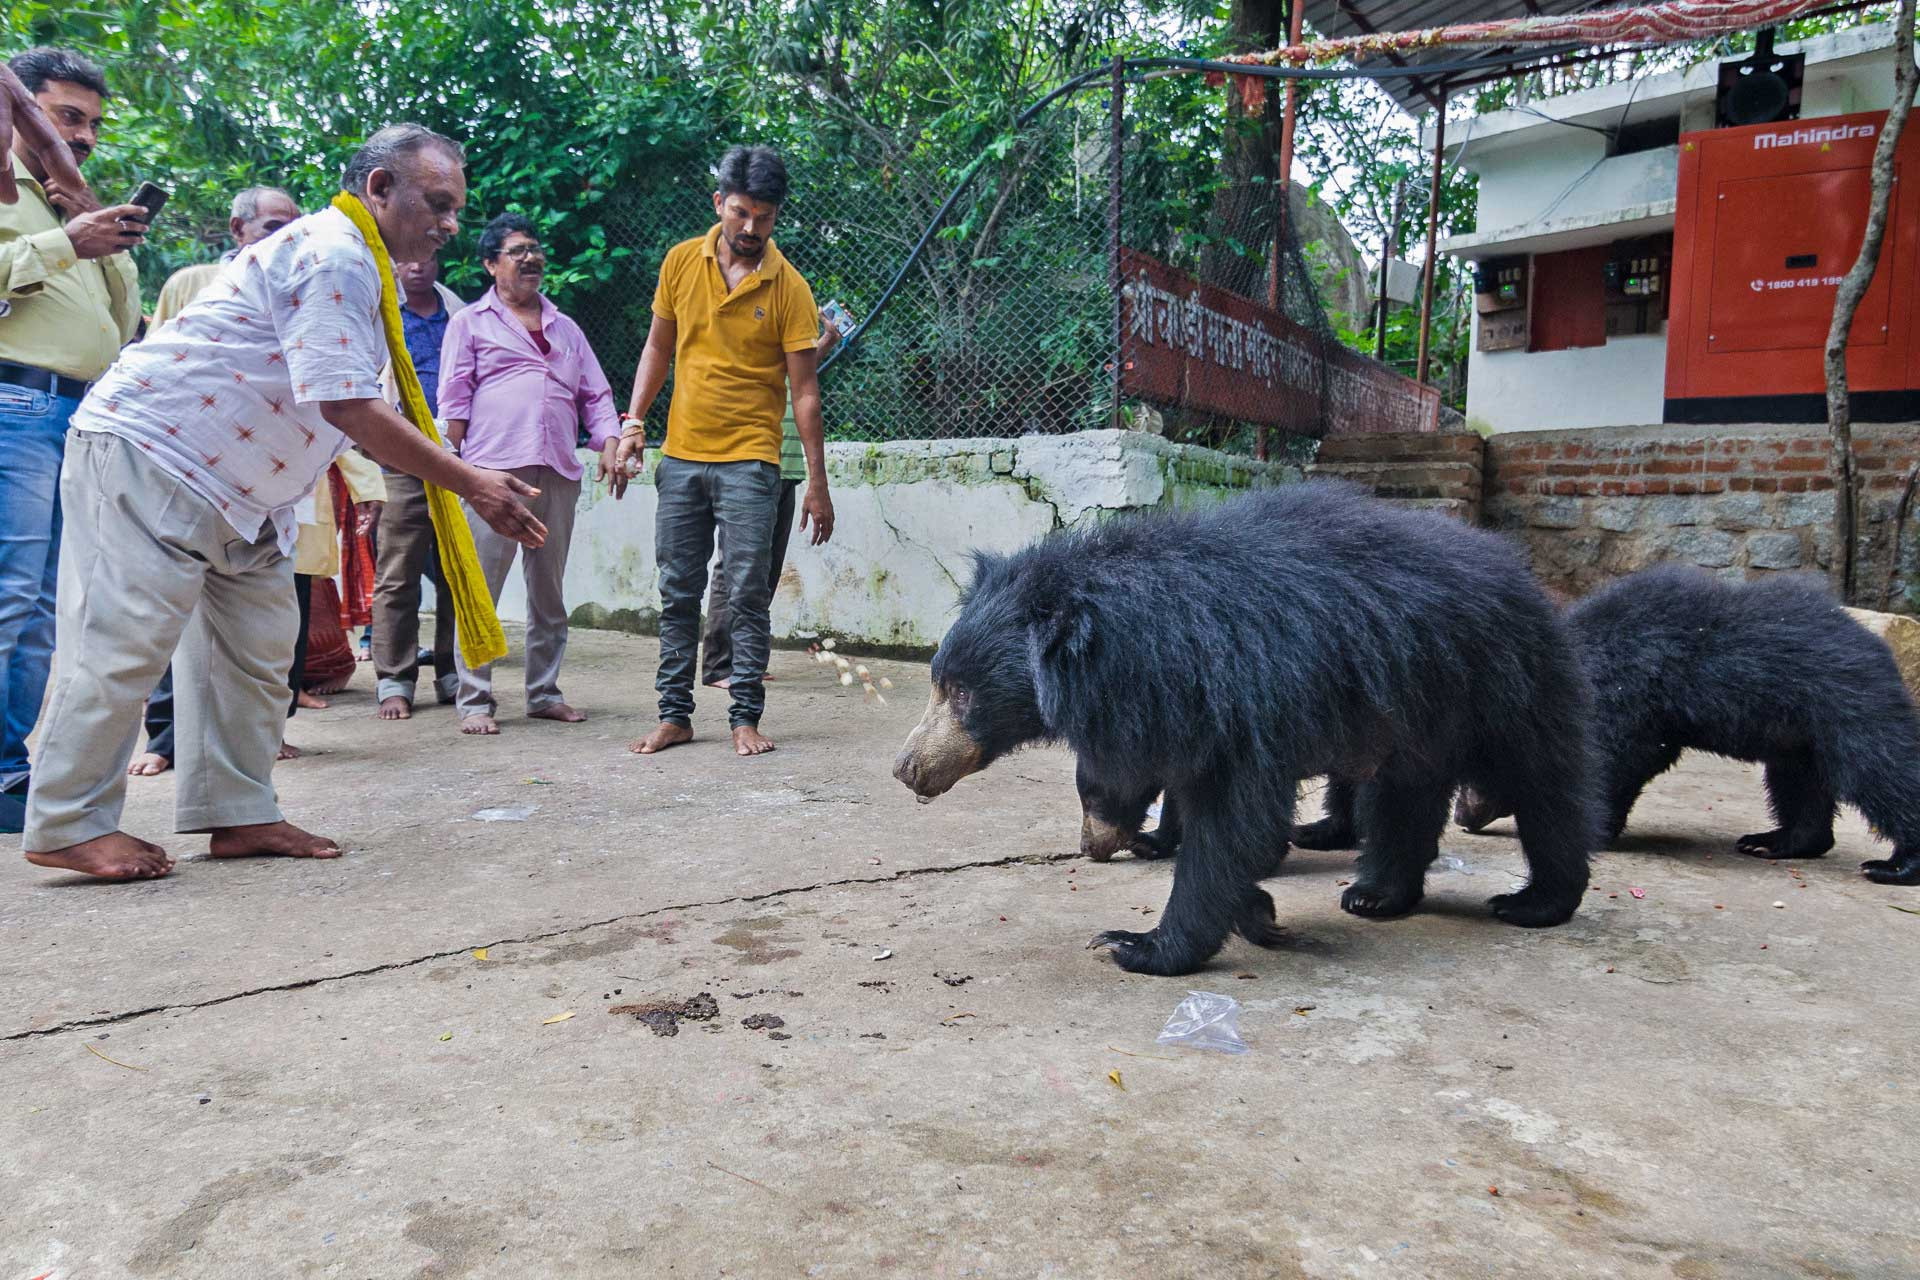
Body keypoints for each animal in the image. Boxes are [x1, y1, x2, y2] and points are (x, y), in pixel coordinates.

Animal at [892, 482, 1598, 976]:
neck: (1145, 645)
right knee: (1404, 796)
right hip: (1417, 708)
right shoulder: (1190, 711)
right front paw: (1254, 909)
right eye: (937, 681)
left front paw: (1139, 944)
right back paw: (1376, 895)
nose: (906, 768)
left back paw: (1535, 902)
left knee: (1544, 786)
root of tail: (1517, 570)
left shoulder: (1250, 693)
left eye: (961, 694)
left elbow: (1236, 820)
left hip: (1502, 685)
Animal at [1449, 564, 1920, 886]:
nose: (1462, 818)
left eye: (1474, 780)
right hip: (1799, 733)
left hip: (1849, 705)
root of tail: (1876, 645)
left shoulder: (1629, 696)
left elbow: (1616, 762)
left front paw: (1593, 832)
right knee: (1799, 786)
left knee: (1882, 769)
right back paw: (1772, 841)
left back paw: (1894, 865)